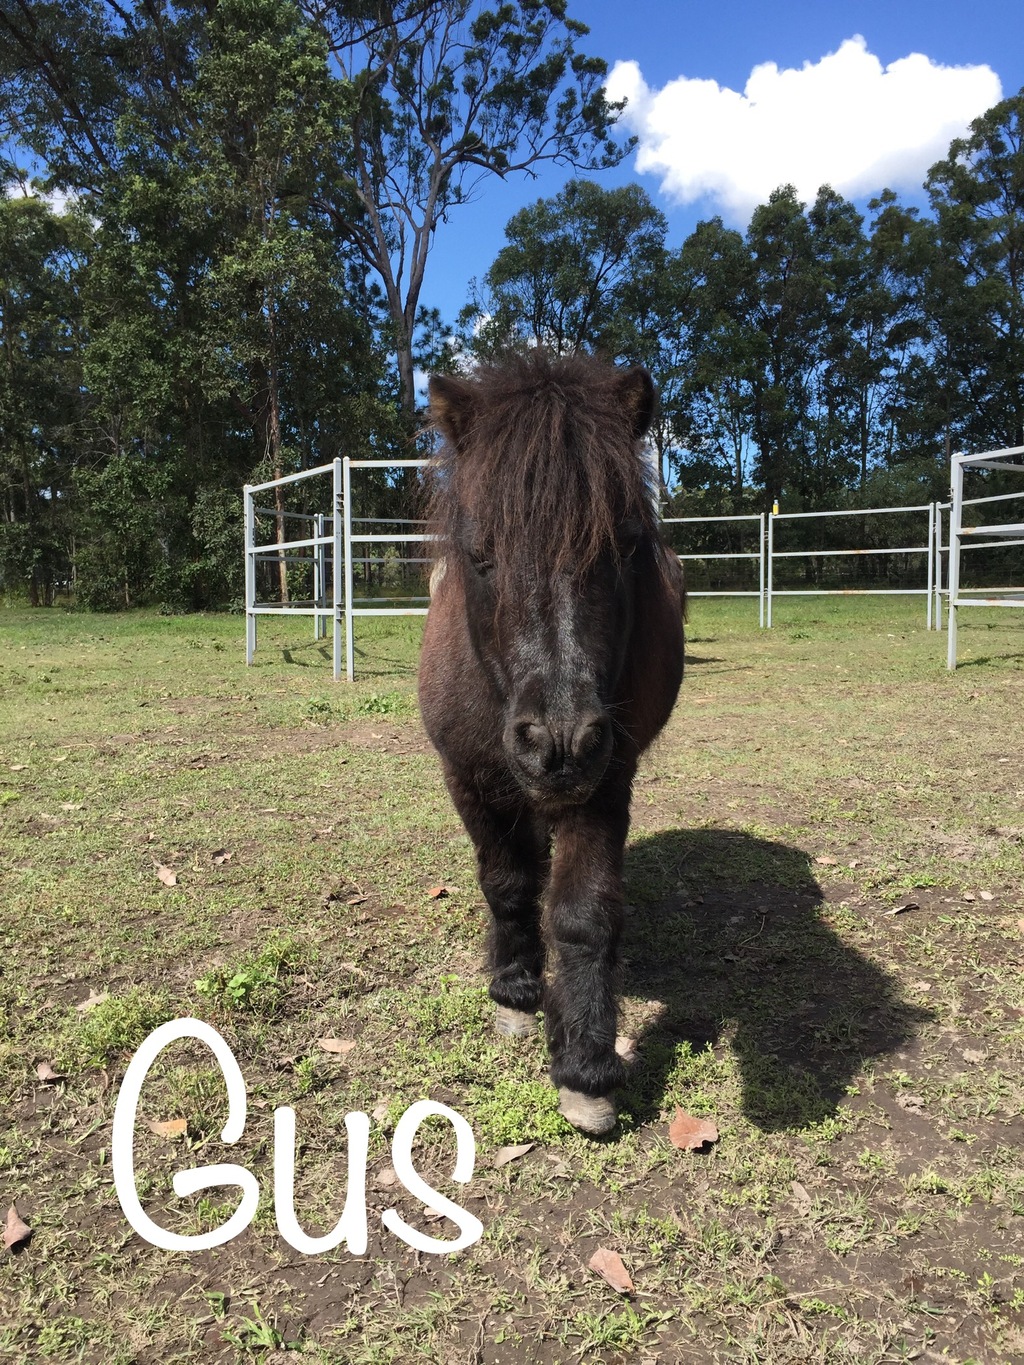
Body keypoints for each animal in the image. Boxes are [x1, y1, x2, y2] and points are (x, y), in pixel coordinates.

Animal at [418, 352, 685, 1134]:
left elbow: (583, 914)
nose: (560, 744)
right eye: (481, 555)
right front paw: (514, 993)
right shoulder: (468, 776)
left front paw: (586, 1069)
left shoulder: (606, 783)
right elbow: (506, 881)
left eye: (624, 545)